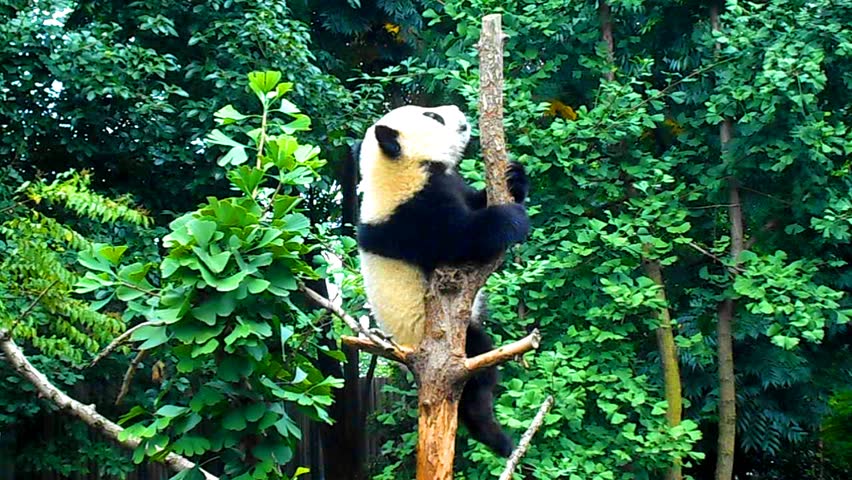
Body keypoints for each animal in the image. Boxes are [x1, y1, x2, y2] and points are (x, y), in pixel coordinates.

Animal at [354, 104, 530, 457]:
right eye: (432, 117)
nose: (458, 111)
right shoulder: (409, 215)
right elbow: (459, 238)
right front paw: (511, 219)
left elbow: (475, 200)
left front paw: (515, 177)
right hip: (437, 339)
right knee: (477, 372)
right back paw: (495, 436)